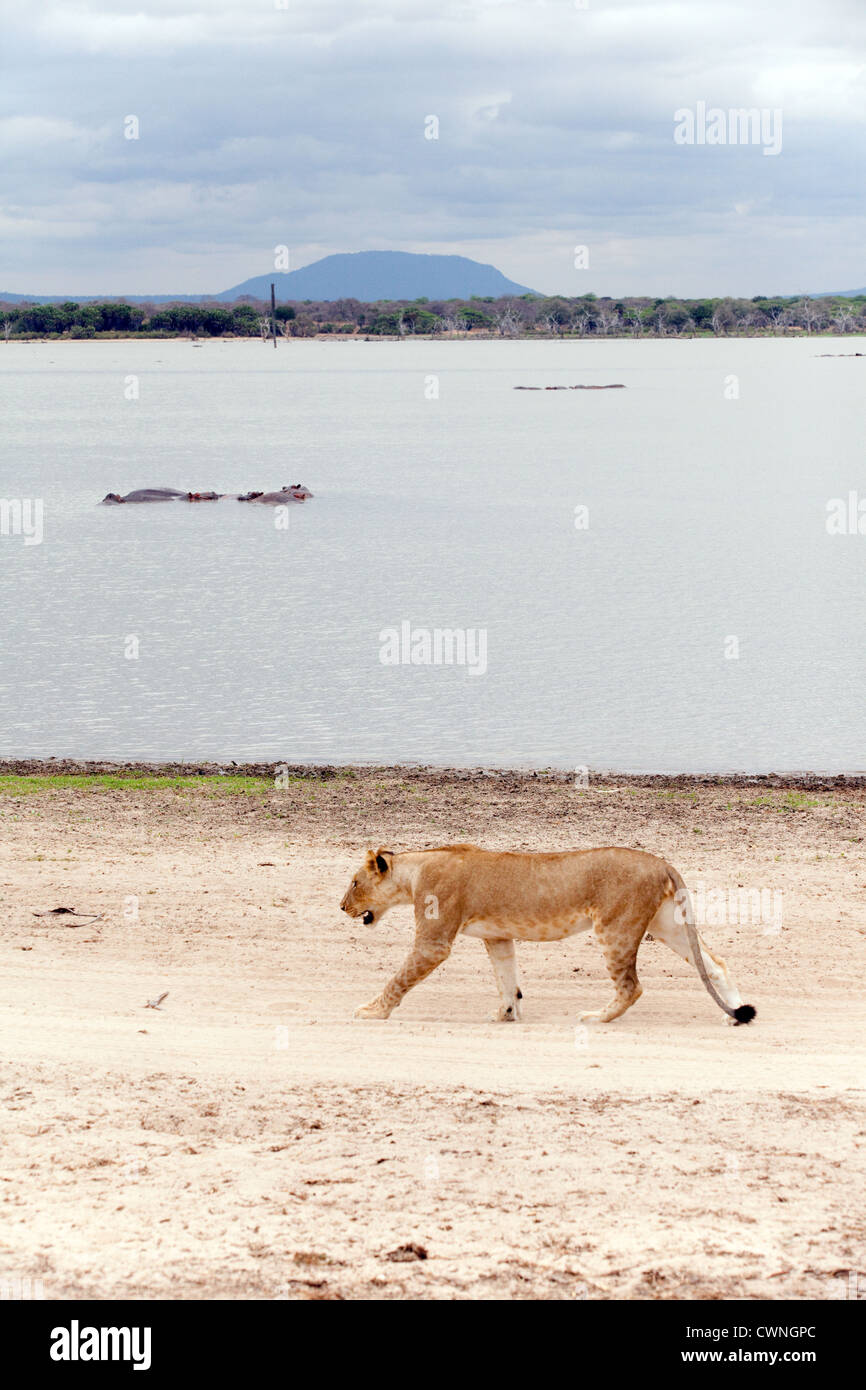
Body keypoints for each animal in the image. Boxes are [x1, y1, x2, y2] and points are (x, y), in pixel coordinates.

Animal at [340, 844, 756, 1026]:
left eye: (355, 883)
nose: (341, 907)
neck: (413, 872)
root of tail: (662, 862)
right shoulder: (498, 937)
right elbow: (507, 978)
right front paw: (506, 1014)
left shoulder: (434, 942)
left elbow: (398, 979)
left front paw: (372, 1011)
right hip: (667, 924)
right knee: (716, 963)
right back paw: (736, 1013)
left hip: (615, 929)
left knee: (631, 986)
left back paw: (596, 1017)